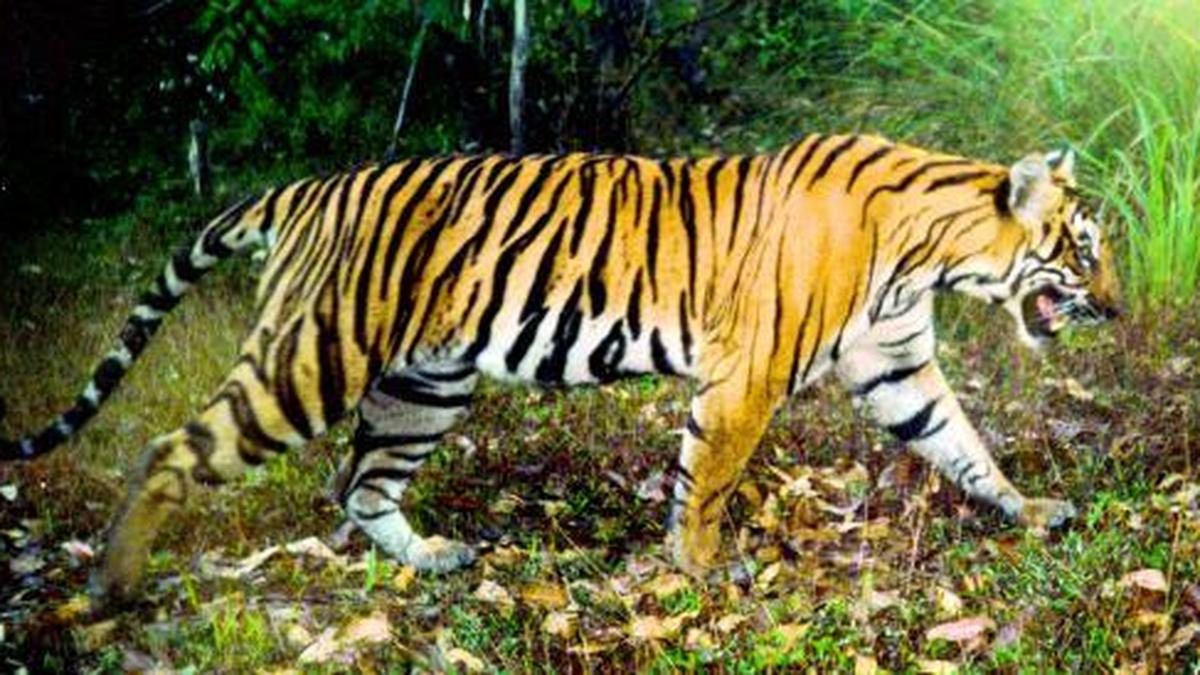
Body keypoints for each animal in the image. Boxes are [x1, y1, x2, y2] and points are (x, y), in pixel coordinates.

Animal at [0, 133, 1121, 609]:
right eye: (1082, 250)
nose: (1115, 308)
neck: (930, 250)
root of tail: (308, 188)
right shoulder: (746, 375)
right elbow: (708, 480)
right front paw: (699, 571)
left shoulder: (896, 366)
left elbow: (962, 443)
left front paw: (1031, 510)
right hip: (312, 359)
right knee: (171, 448)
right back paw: (113, 584)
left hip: (424, 385)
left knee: (359, 484)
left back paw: (431, 558)